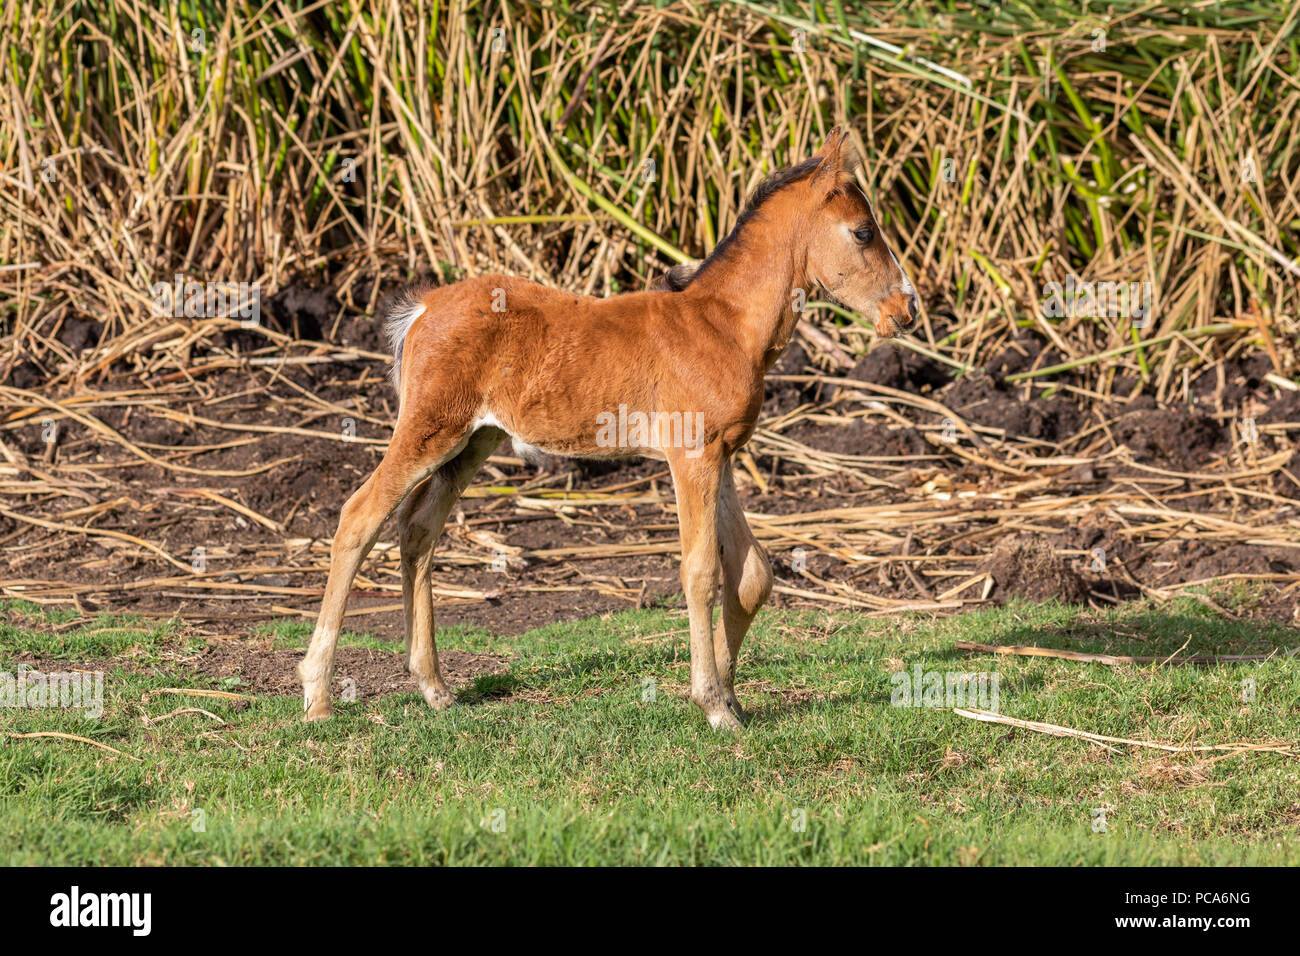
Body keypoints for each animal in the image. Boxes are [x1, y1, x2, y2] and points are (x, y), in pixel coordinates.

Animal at [298, 127, 920, 731]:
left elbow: (751, 573)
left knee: (418, 529)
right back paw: (318, 695)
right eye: (863, 232)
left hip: (474, 441)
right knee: (358, 517)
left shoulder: (719, 455)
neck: (724, 324)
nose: (907, 310)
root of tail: (423, 307)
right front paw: (713, 706)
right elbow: (700, 571)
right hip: (432, 428)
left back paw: (433, 688)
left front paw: (733, 697)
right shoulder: (691, 455)